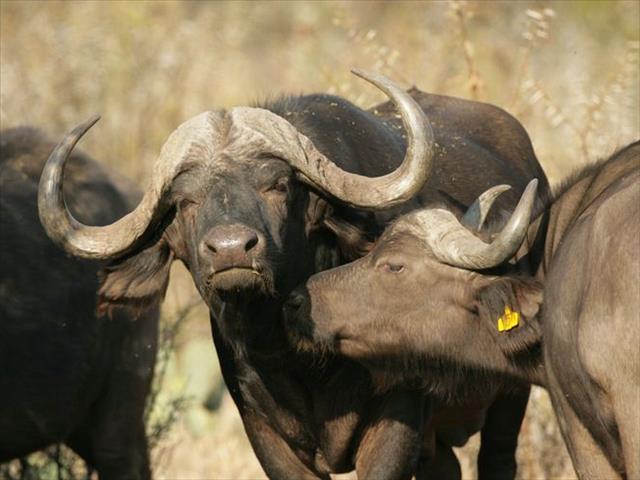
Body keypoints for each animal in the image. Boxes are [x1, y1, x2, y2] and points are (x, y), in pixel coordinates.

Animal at [37, 70, 550, 478]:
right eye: (185, 202)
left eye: (278, 185)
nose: (231, 250)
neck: (297, 354)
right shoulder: (266, 436)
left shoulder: (395, 425)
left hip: (510, 399)